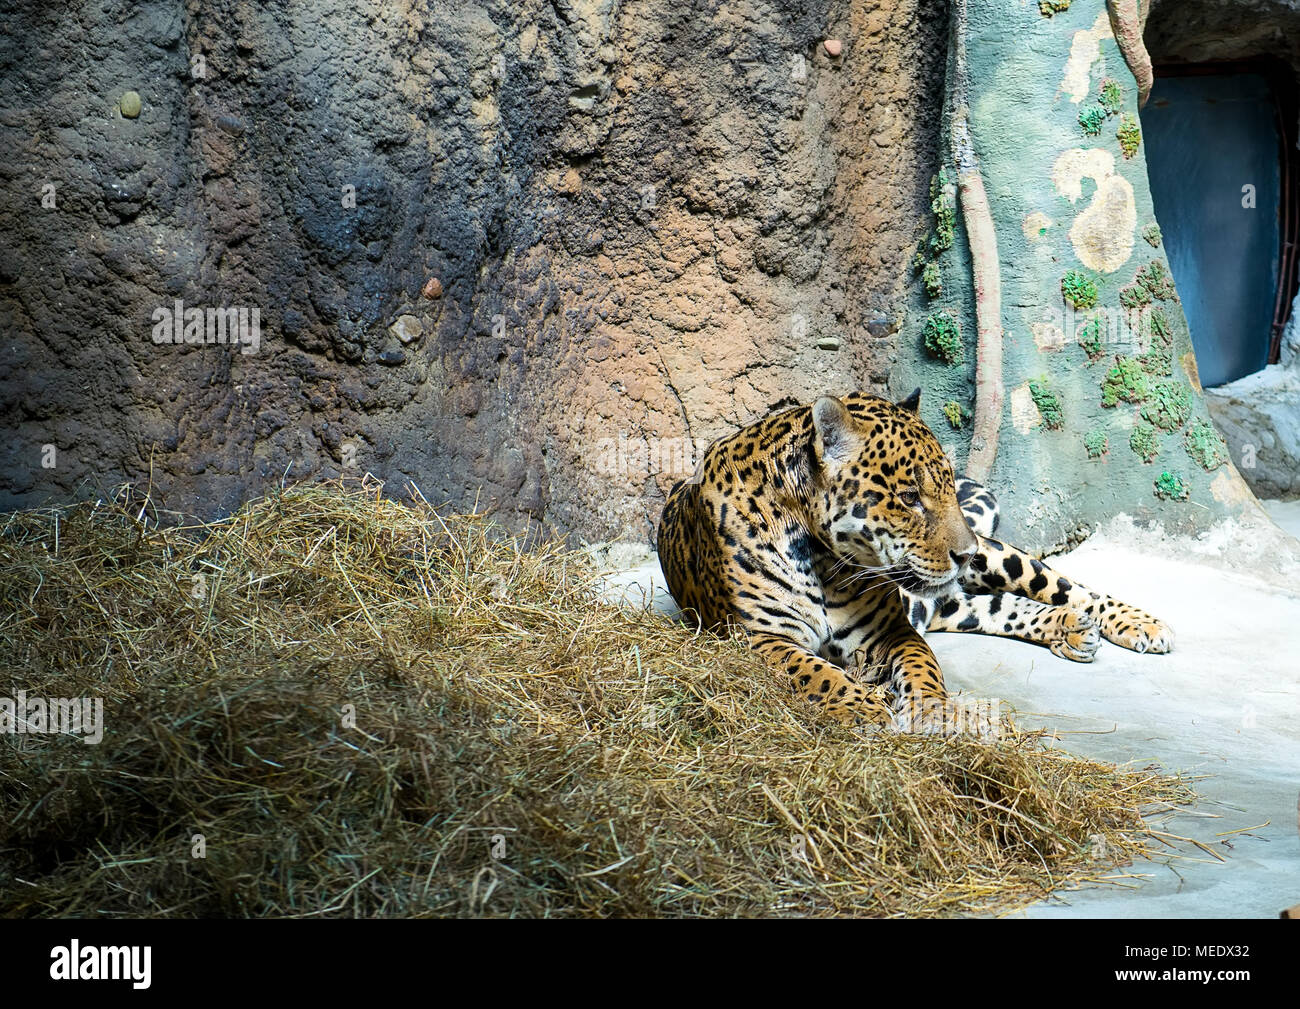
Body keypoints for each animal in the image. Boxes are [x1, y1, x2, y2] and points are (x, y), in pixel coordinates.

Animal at [656, 389, 1173, 728]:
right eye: (909, 498)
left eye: (945, 489)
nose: (964, 553)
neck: (824, 561)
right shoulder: (758, 638)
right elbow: (816, 672)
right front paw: (862, 705)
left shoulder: (892, 629)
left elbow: (924, 668)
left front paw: (935, 710)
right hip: (951, 603)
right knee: (998, 607)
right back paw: (1068, 630)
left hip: (997, 560)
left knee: (1066, 587)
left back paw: (1137, 623)